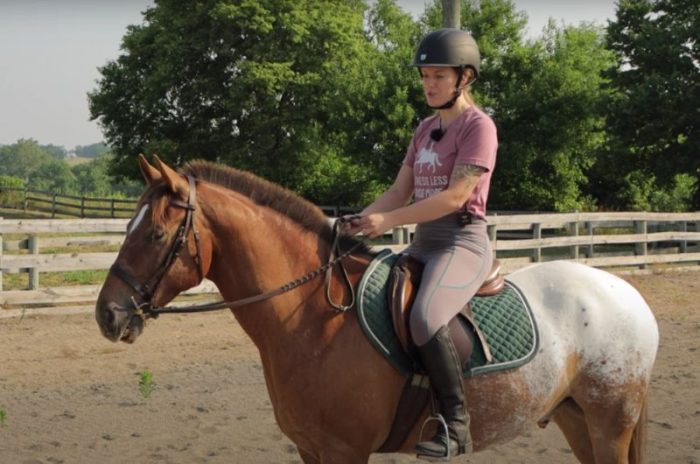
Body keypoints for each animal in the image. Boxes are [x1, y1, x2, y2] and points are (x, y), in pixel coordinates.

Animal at [95, 155, 659, 464]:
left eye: (155, 234)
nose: (108, 315)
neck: (312, 319)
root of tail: (627, 293)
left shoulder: (345, 451)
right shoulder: (312, 449)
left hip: (610, 421)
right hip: (575, 418)